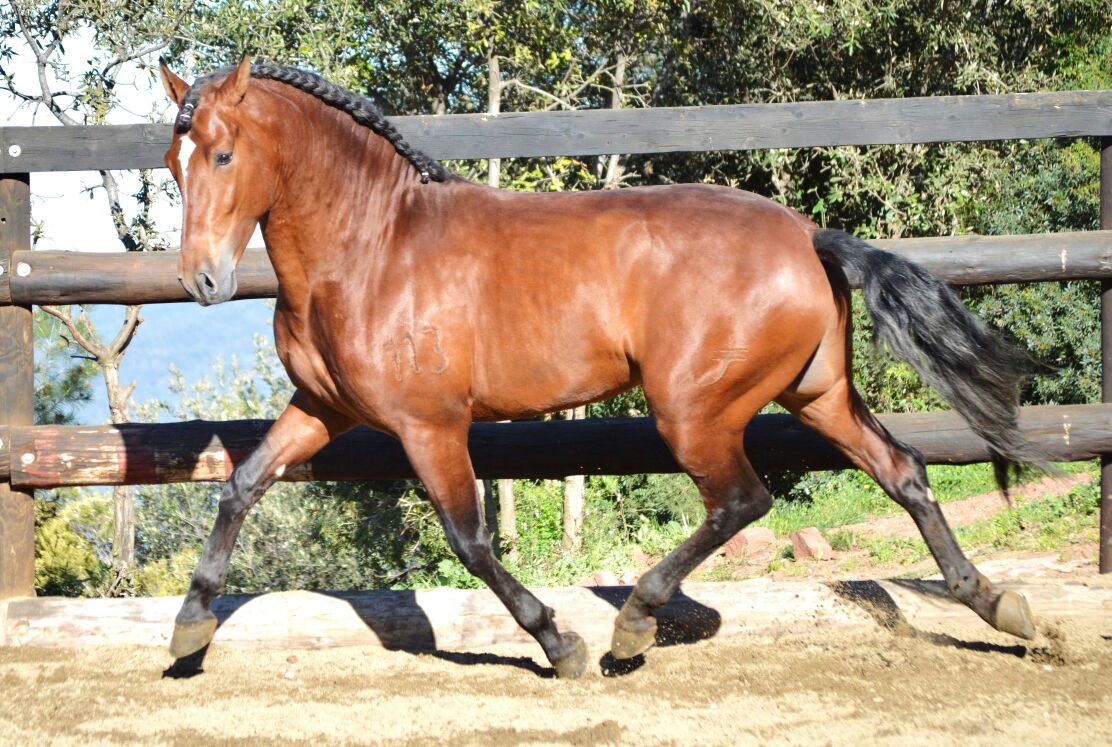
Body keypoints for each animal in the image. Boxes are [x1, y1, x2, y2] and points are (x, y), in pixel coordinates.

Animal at [158, 57, 1044, 679]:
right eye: (173, 162)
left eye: (224, 155)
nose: (201, 280)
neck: (372, 248)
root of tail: (807, 236)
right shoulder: (323, 407)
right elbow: (241, 485)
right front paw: (188, 630)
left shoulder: (429, 424)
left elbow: (470, 539)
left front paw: (560, 643)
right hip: (817, 394)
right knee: (904, 470)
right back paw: (1001, 608)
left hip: (692, 408)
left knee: (743, 499)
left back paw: (632, 624)